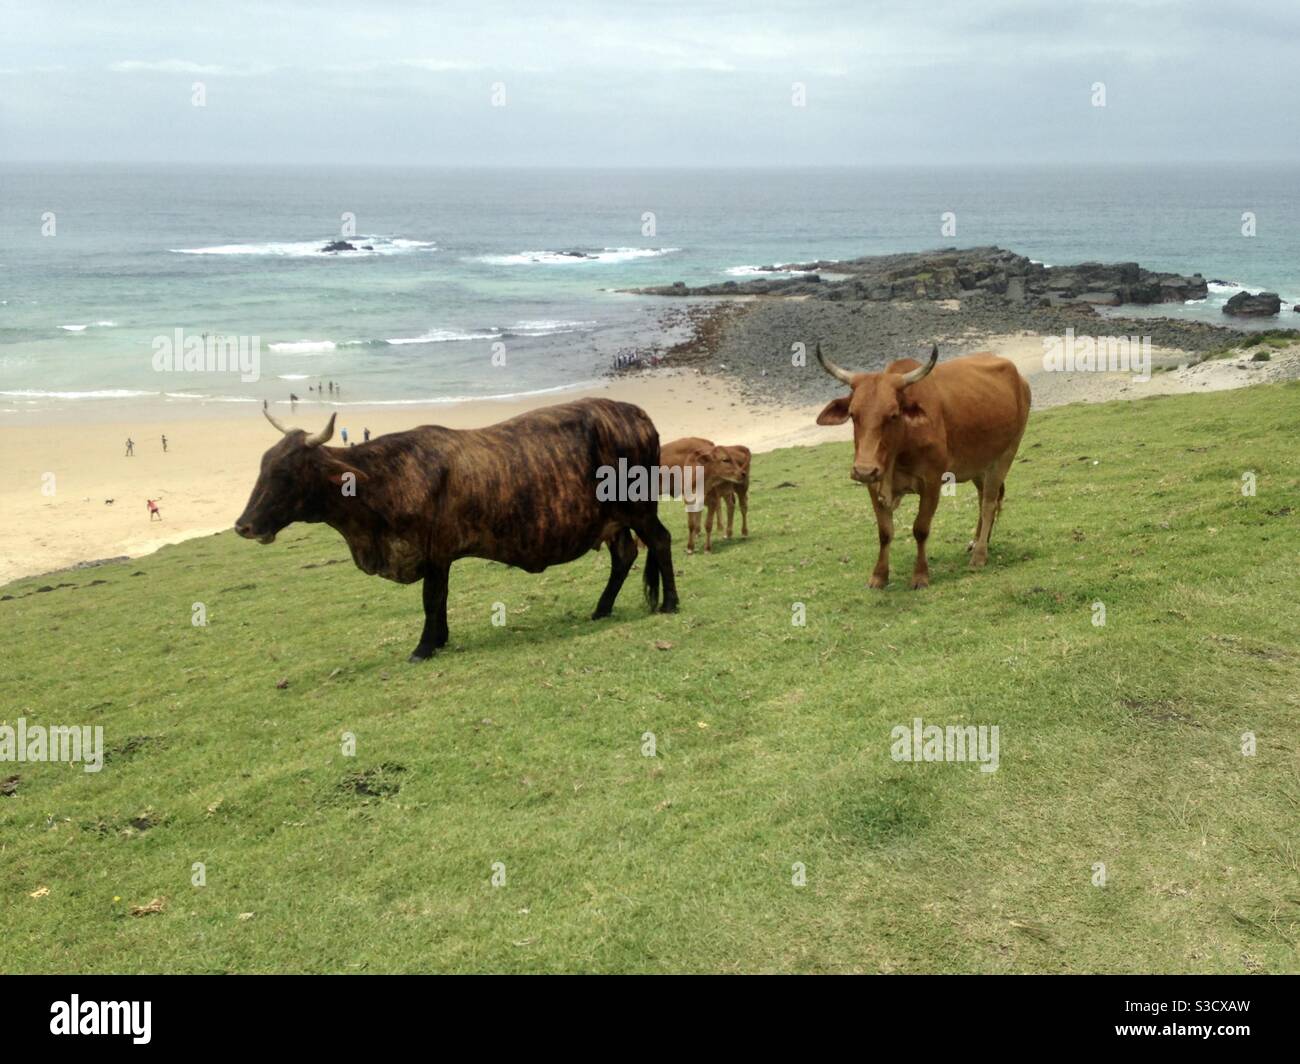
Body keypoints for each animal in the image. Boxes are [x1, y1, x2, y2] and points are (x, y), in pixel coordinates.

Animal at [235, 399, 679, 661]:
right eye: (262, 466)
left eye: (285, 474)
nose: (243, 525)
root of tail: (638, 415)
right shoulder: (440, 556)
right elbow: (440, 599)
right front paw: (440, 638)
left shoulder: (434, 550)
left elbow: (431, 600)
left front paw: (424, 646)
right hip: (613, 519)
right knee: (624, 555)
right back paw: (601, 608)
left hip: (638, 508)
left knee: (659, 541)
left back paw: (670, 603)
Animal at [814, 343, 1030, 589]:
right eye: (853, 414)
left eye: (893, 414)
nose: (864, 470)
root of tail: (1020, 379)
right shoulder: (874, 485)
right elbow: (885, 532)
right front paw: (879, 576)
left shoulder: (932, 484)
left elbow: (920, 529)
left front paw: (920, 576)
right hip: (979, 464)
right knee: (983, 498)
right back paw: (976, 542)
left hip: (1005, 455)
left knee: (988, 503)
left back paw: (980, 555)